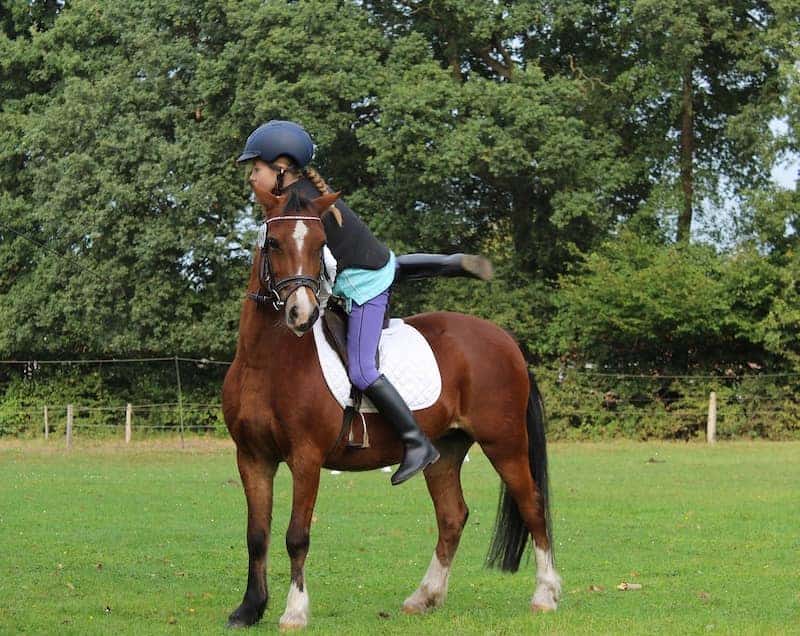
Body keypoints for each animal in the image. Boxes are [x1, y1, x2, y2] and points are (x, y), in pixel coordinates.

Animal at [221, 190, 561, 629]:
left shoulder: (305, 458)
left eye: (320, 245)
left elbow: (296, 536)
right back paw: (424, 596)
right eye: (275, 243)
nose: (302, 313)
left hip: (504, 442)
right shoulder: (252, 457)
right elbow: (256, 535)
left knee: (532, 505)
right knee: (452, 516)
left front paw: (294, 612)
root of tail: (505, 340)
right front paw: (249, 609)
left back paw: (545, 595)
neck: (266, 362)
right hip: (445, 450)